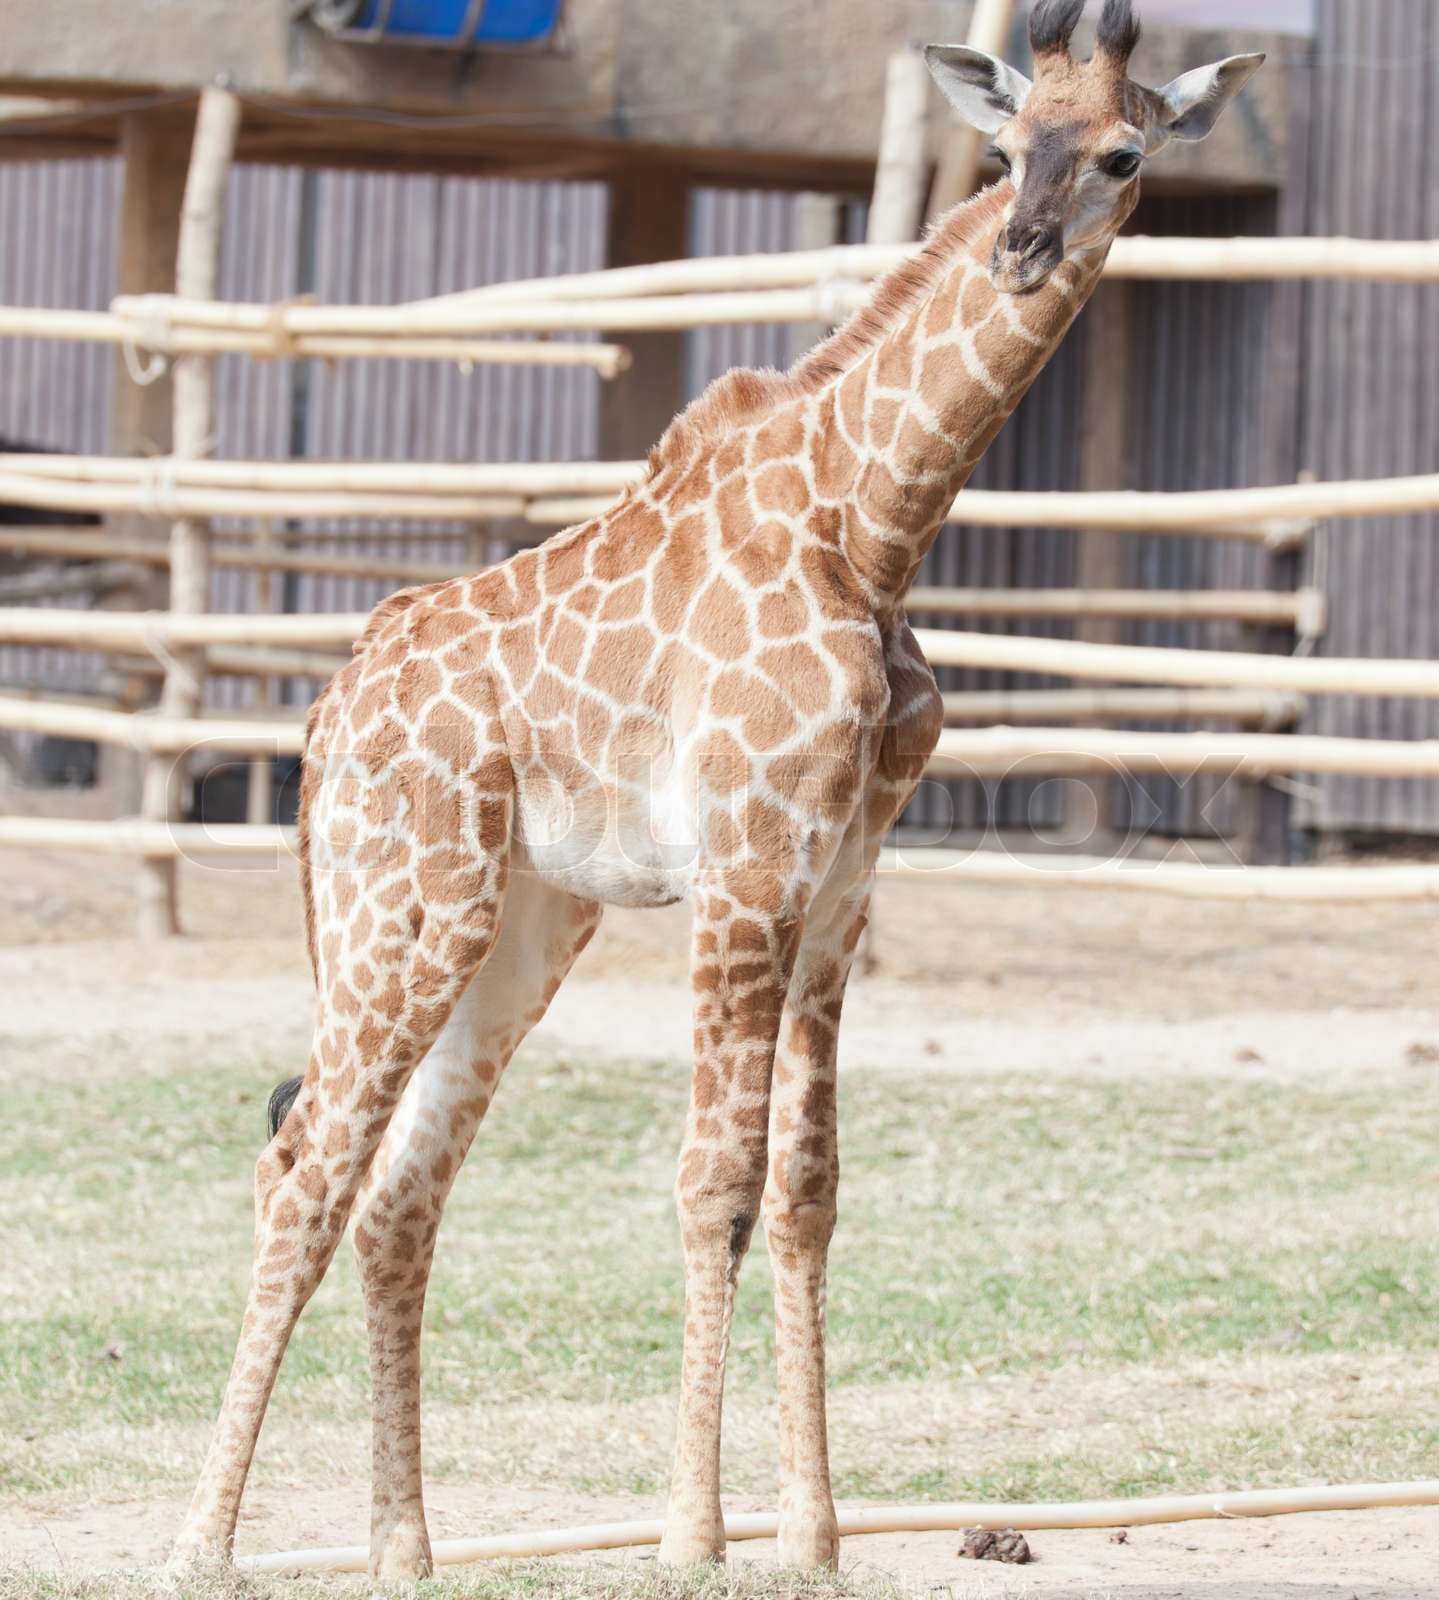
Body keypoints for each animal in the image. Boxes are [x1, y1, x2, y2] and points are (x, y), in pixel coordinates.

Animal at [172, 0, 1261, 1579]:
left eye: (1120, 154)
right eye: (1007, 148)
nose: (1020, 247)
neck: (874, 527)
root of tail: (324, 711)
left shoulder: (841, 884)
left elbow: (804, 1188)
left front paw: (810, 1534)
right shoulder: (743, 867)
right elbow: (714, 1182)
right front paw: (693, 1537)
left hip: (516, 928)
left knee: (398, 1196)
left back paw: (406, 1553)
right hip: (404, 906)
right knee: (306, 1168)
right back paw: (201, 1549)